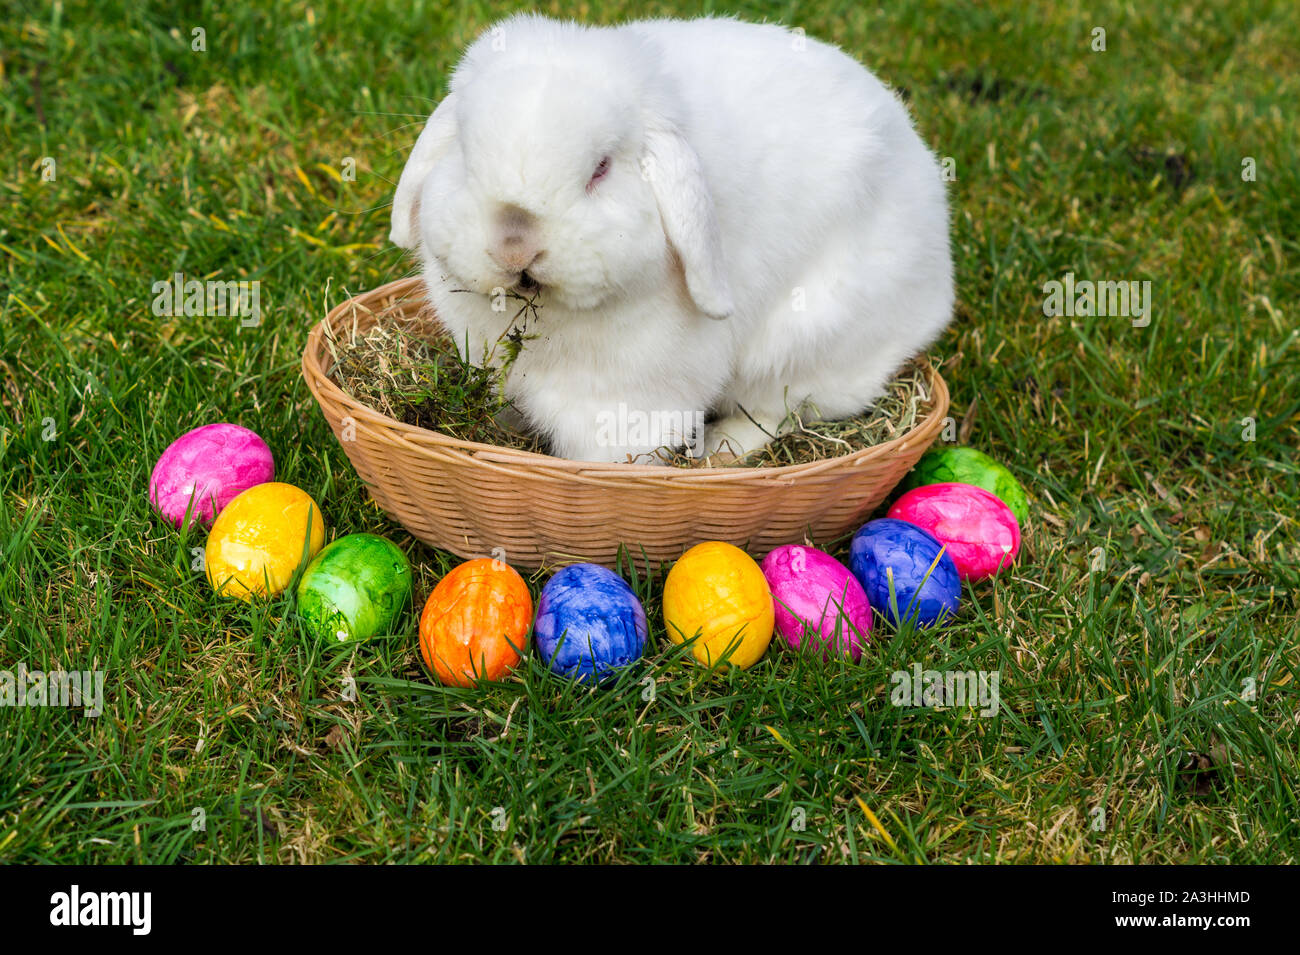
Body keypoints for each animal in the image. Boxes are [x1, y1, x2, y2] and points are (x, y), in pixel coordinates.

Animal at [389, 13, 954, 463]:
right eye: (465, 155)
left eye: (600, 169)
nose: (515, 246)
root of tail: (937, 294)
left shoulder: (623, 397)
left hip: (805, 342)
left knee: (781, 410)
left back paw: (723, 450)